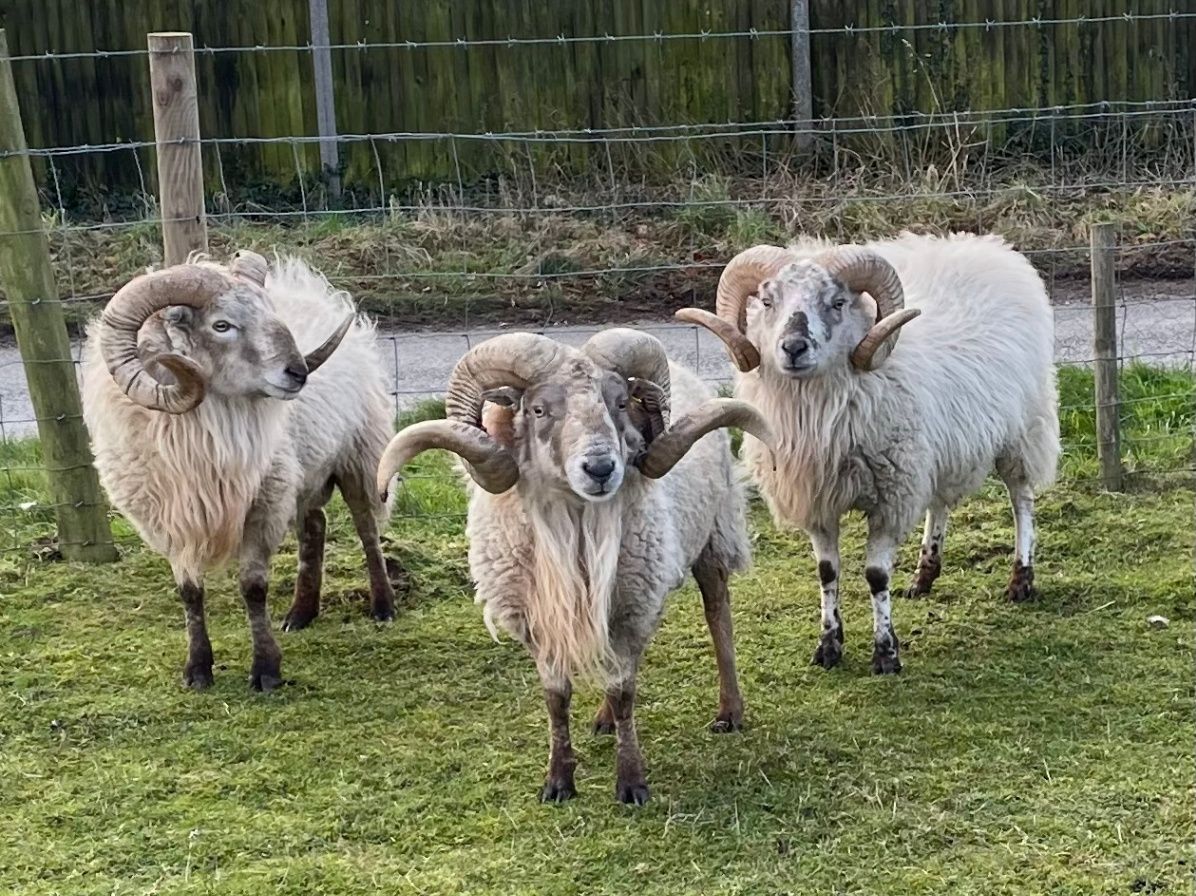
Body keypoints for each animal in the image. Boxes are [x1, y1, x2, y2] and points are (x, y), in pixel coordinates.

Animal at [81, 250, 398, 691]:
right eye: (221, 325)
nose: (298, 372)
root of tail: (311, 286)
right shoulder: (169, 519)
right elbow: (189, 592)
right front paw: (198, 669)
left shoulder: (262, 504)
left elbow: (253, 587)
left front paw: (266, 669)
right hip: (301, 473)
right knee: (314, 527)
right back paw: (301, 613)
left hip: (357, 454)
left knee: (367, 528)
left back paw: (383, 606)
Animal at [375, 328, 772, 804]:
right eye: (538, 409)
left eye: (620, 404)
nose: (600, 467)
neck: (579, 530)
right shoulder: (540, 620)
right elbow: (556, 698)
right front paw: (558, 781)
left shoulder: (630, 609)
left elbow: (624, 693)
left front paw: (631, 783)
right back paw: (603, 719)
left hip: (711, 536)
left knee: (718, 614)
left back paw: (730, 711)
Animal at [676, 231, 1059, 674]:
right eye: (768, 301)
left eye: (838, 302)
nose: (793, 347)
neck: (818, 415)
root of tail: (990, 246)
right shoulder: (819, 498)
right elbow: (827, 572)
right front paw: (828, 645)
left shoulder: (891, 496)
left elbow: (876, 576)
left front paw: (886, 652)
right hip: (934, 451)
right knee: (939, 503)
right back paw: (924, 574)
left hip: (1023, 429)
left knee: (1021, 500)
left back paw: (1021, 578)